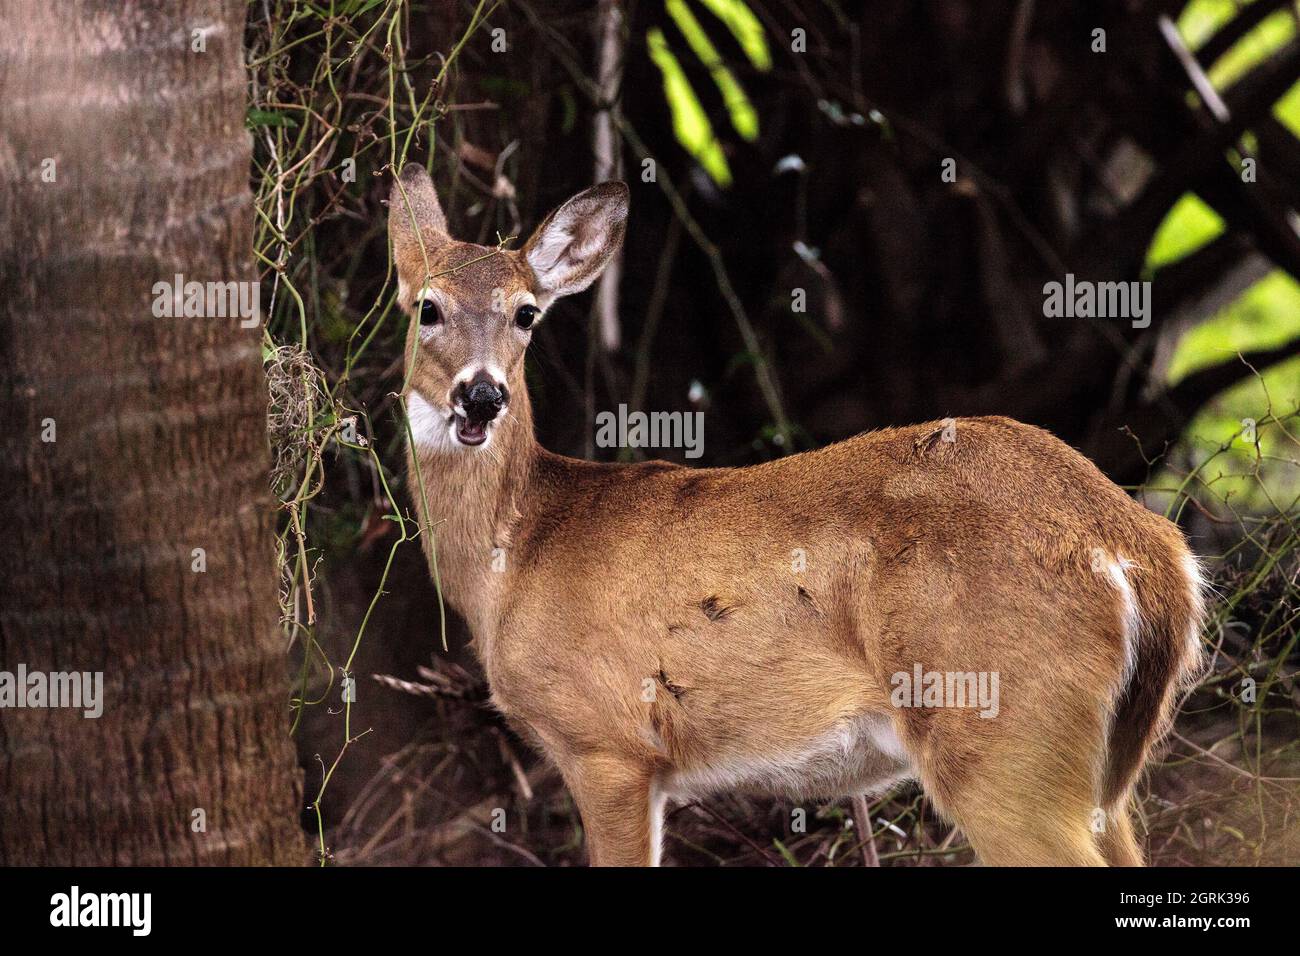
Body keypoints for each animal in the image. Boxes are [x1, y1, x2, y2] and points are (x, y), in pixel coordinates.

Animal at [387, 164, 1208, 866]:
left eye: (526, 313)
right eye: (428, 307)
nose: (481, 395)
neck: (516, 553)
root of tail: (1144, 550)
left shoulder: (606, 742)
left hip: (998, 729)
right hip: (1105, 770)